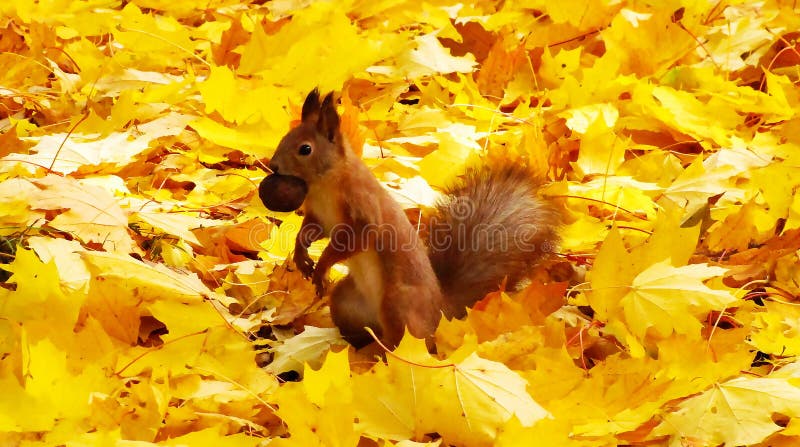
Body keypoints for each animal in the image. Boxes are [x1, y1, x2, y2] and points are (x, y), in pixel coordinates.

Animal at [262, 89, 560, 349]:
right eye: (286, 136)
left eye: (305, 149)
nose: (273, 165)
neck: (322, 184)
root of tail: (440, 313)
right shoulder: (318, 214)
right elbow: (310, 231)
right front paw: (301, 255)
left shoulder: (362, 210)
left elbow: (351, 241)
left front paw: (322, 266)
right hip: (346, 302)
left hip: (398, 304)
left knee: (411, 342)